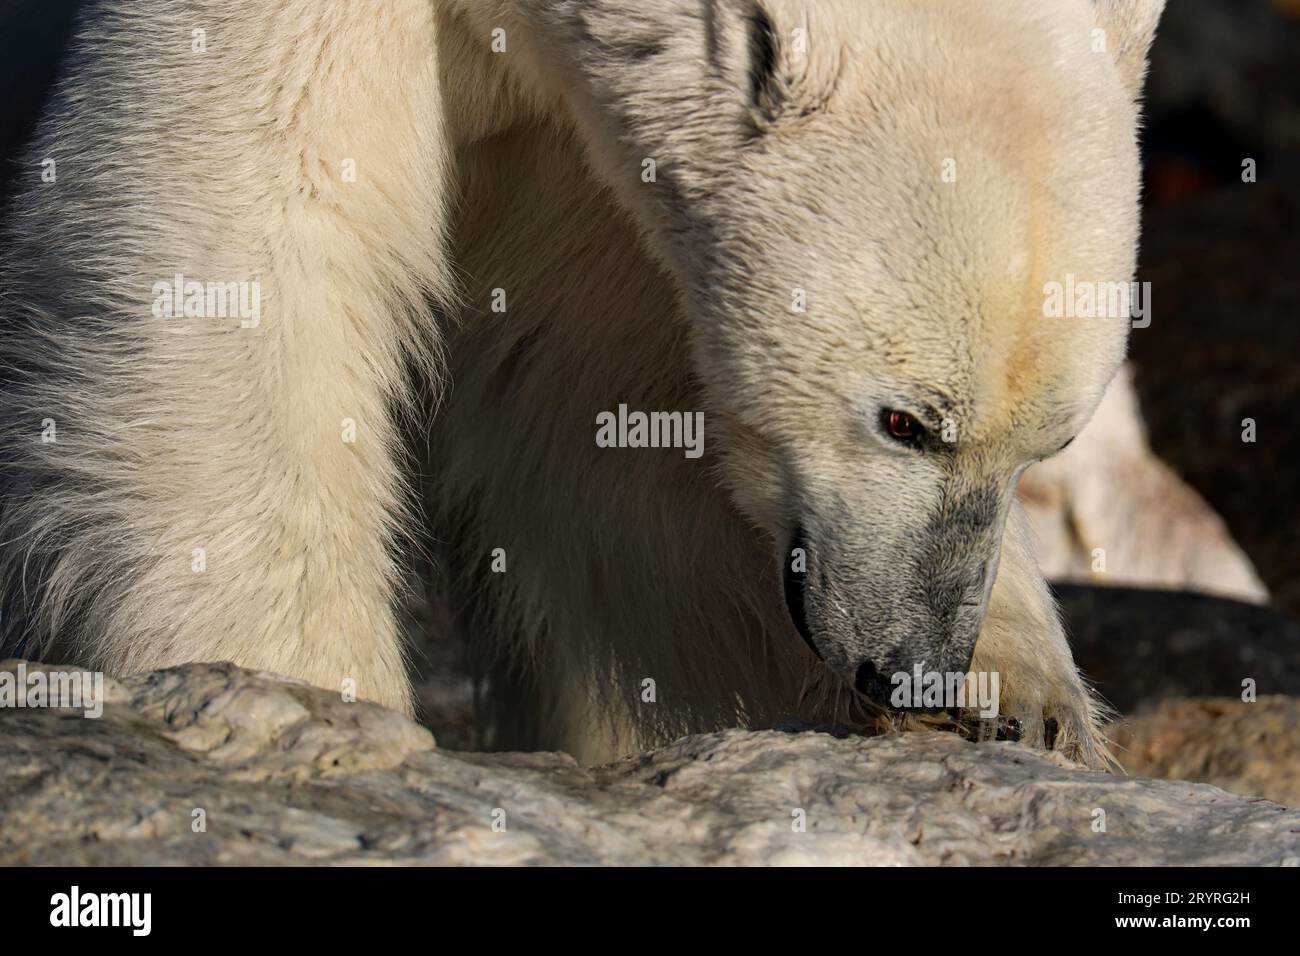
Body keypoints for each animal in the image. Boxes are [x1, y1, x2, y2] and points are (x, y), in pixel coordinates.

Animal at [0, 0, 1165, 769]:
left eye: (1047, 446)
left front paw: (1020, 697)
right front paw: (305, 696)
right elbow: (245, 266)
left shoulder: (582, 180)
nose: (917, 663)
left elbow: (611, 429)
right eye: (905, 420)